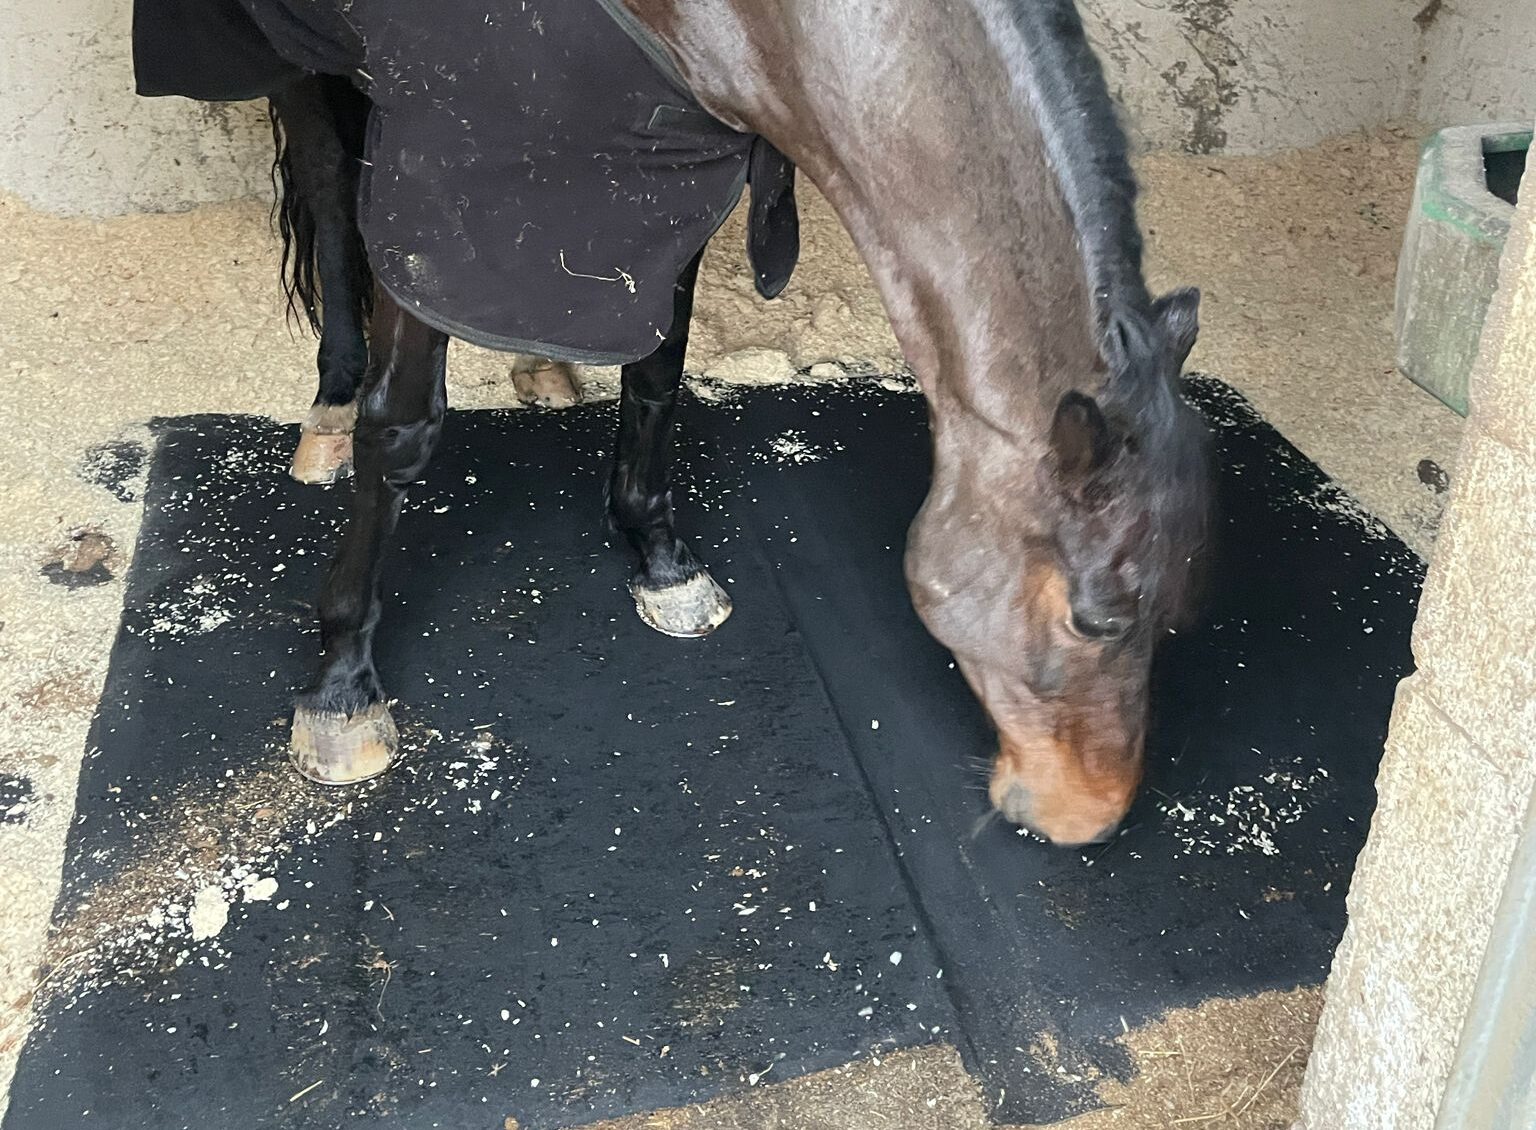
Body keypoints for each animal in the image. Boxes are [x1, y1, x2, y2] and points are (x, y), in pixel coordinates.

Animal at [133, 0, 1214, 846]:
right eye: (1092, 618)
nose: (1091, 814)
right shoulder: (444, 174)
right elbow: (400, 429)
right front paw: (340, 683)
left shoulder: (663, 172)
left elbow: (656, 369)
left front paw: (658, 557)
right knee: (327, 182)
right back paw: (329, 401)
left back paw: (542, 363)